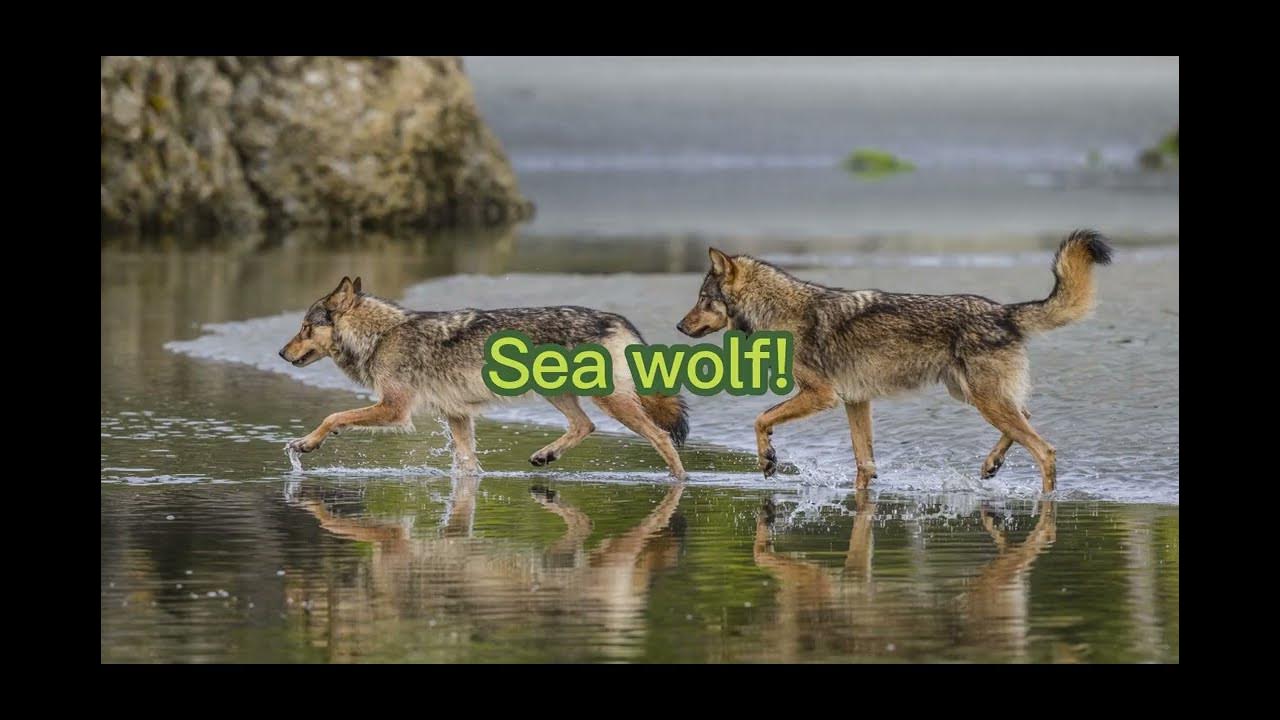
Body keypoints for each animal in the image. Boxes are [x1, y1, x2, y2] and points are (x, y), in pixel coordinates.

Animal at [278, 277, 689, 478]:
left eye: (304, 327)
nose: (281, 353)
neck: (381, 336)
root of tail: (617, 319)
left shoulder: (395, 409)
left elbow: (334, 417)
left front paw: (305, 444)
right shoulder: (457, 415)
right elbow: (467, 464)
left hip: (610, 401)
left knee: (661, 437)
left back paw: (680, 481)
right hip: (558, 394)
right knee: (585, 426)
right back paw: (546, 455)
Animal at [676, 230, 1113, 493]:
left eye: (702, 299)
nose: (679, 325)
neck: (779, 312)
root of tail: (1003, 311)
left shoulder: (821, 395)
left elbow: (760, 418)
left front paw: (768, 460)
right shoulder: (855, 402)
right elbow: (864, 464)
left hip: (984, 401)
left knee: (1045, 449)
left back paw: (1046, 503)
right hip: (975, 397)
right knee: (1027, 419)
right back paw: (992, 464)